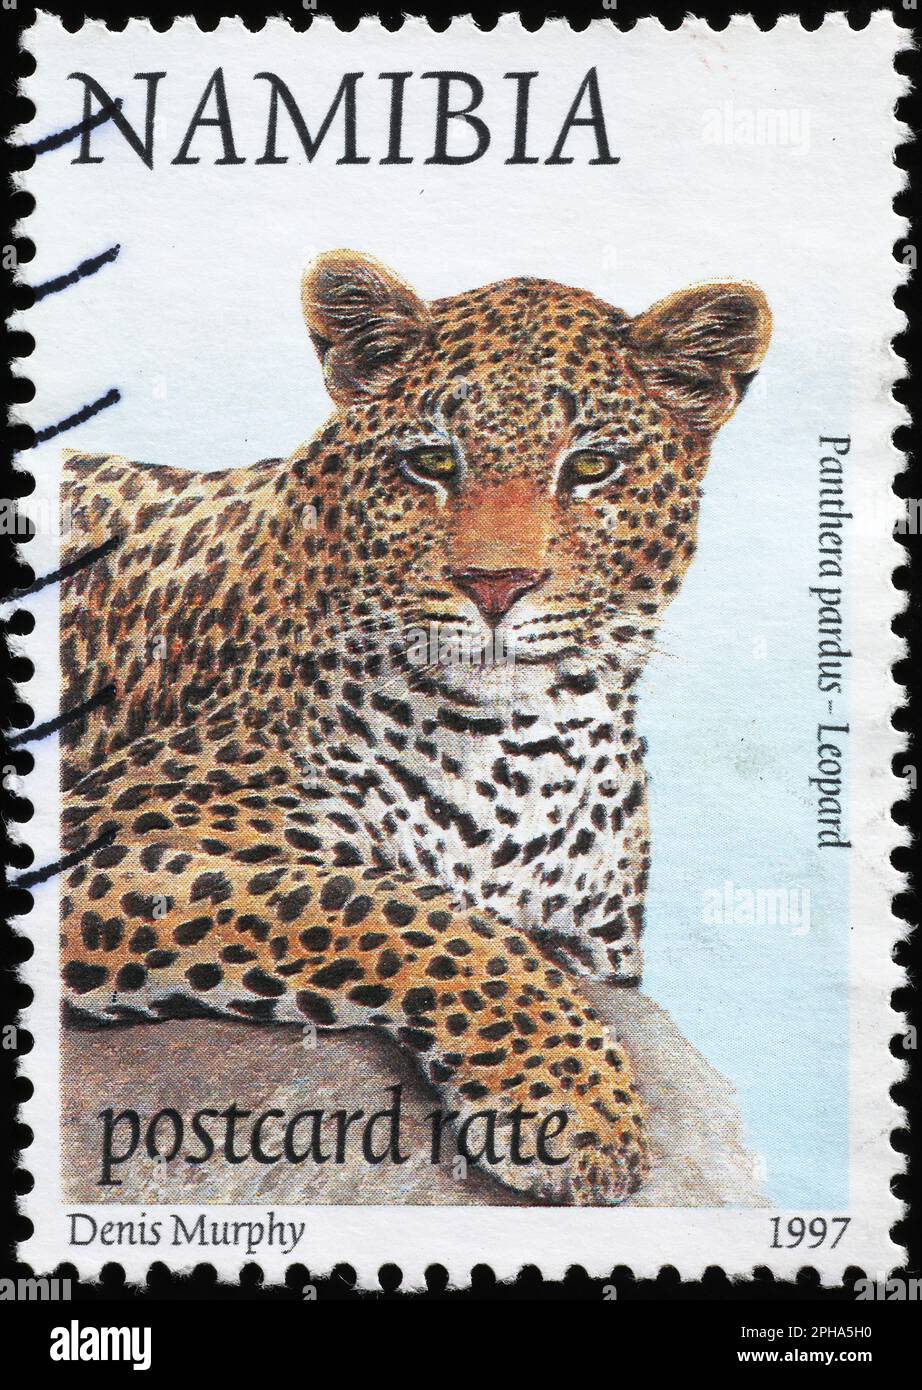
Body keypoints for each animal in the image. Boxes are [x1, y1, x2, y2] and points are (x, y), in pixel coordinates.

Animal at [56, 251, 770, 1204]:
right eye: (432, 461)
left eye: (590, 467)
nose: (497, 586)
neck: (524, 751)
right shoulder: (94, 844)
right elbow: (374, 906)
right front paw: (571, 1101)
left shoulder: (604, 946)